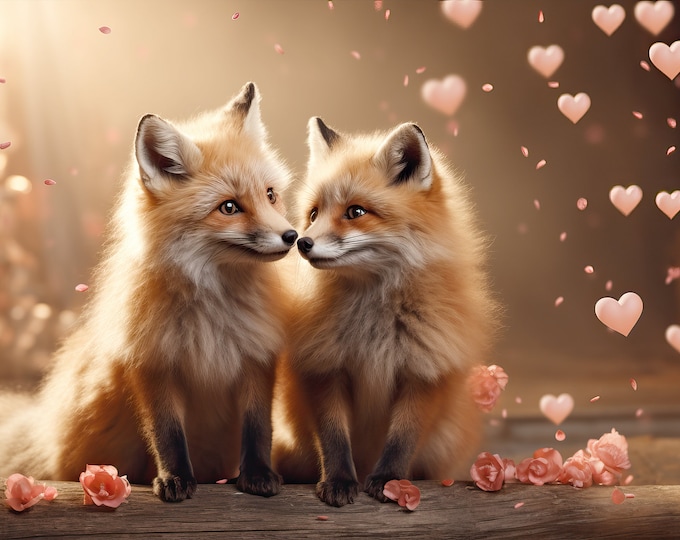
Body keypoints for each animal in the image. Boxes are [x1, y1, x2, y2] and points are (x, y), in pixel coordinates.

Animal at [0, 82, 297, 502]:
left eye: (270, 195)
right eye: (229, 207)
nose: (293, 236)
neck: (215, 312)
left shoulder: (257, 358)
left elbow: (259, 429)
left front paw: (258, 475)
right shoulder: (154, 364)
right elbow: (167, 433)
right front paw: (175, 479)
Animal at [272, 117, 499, 507]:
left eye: (356, 212)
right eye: (314, 213)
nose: (301, 242)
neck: (373, 320)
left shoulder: (424, 371)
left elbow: (402, 439)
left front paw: (390, 482)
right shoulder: (325, 366)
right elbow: (333, 437)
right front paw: (339, 481)